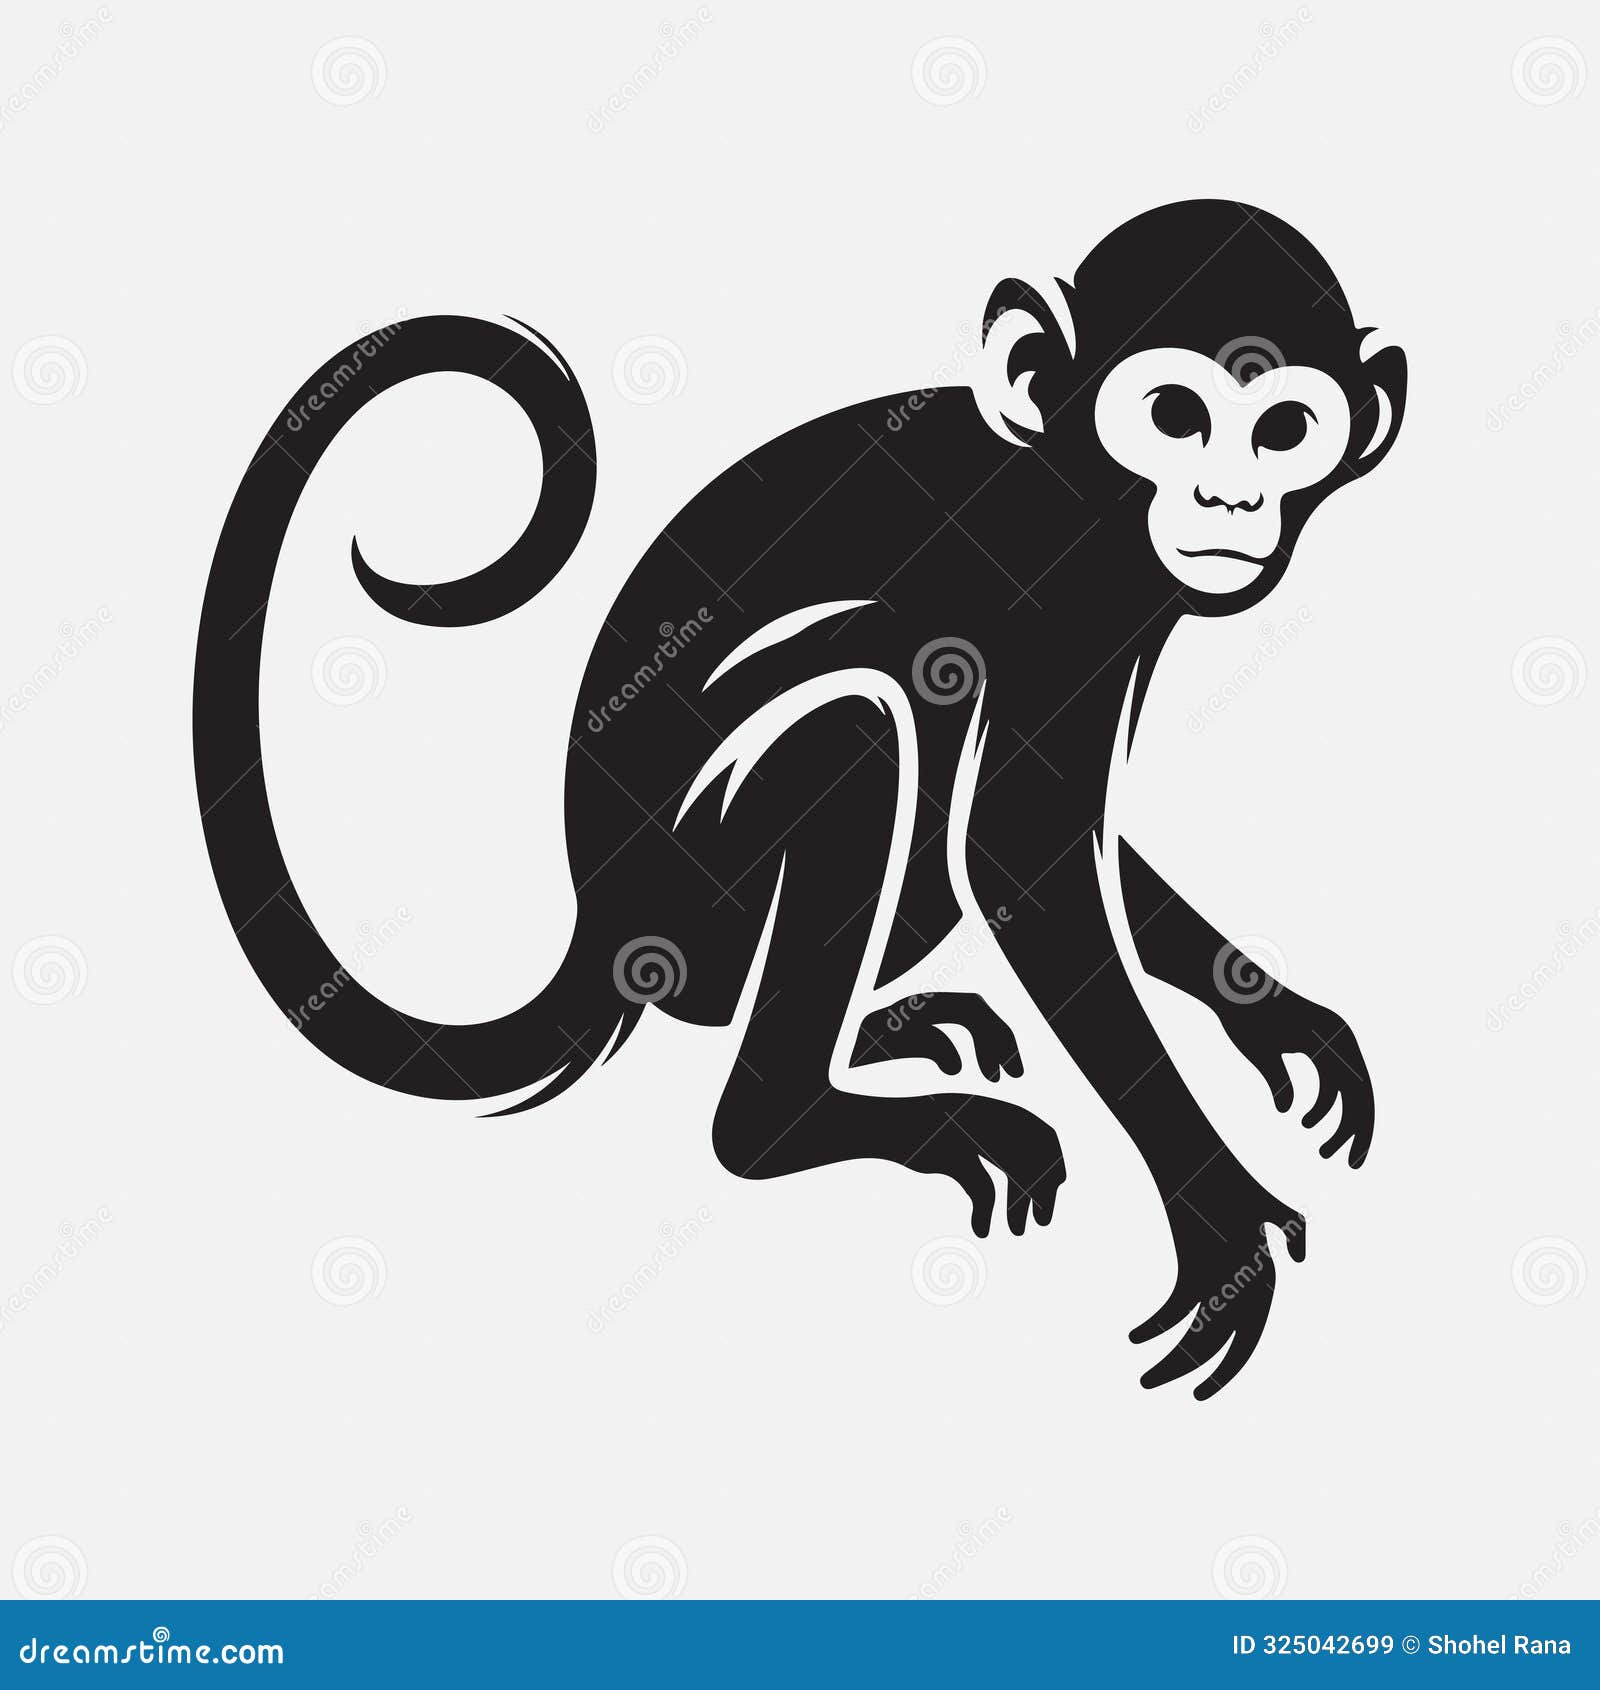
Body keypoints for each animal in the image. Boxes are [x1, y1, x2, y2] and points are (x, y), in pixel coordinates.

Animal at [194, 200, 1405, 1398]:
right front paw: (1221, 1219)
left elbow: (1065, 842)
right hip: (696, 904)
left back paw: (885, 1026)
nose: (1228, 497)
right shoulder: (1049, 588)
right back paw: (787, 1118)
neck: (1067, 488)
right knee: (861, 727)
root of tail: (604, 926)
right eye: (1171, 414)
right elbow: (1018, 851)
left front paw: (1265, 1010)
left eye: (1283, 430)